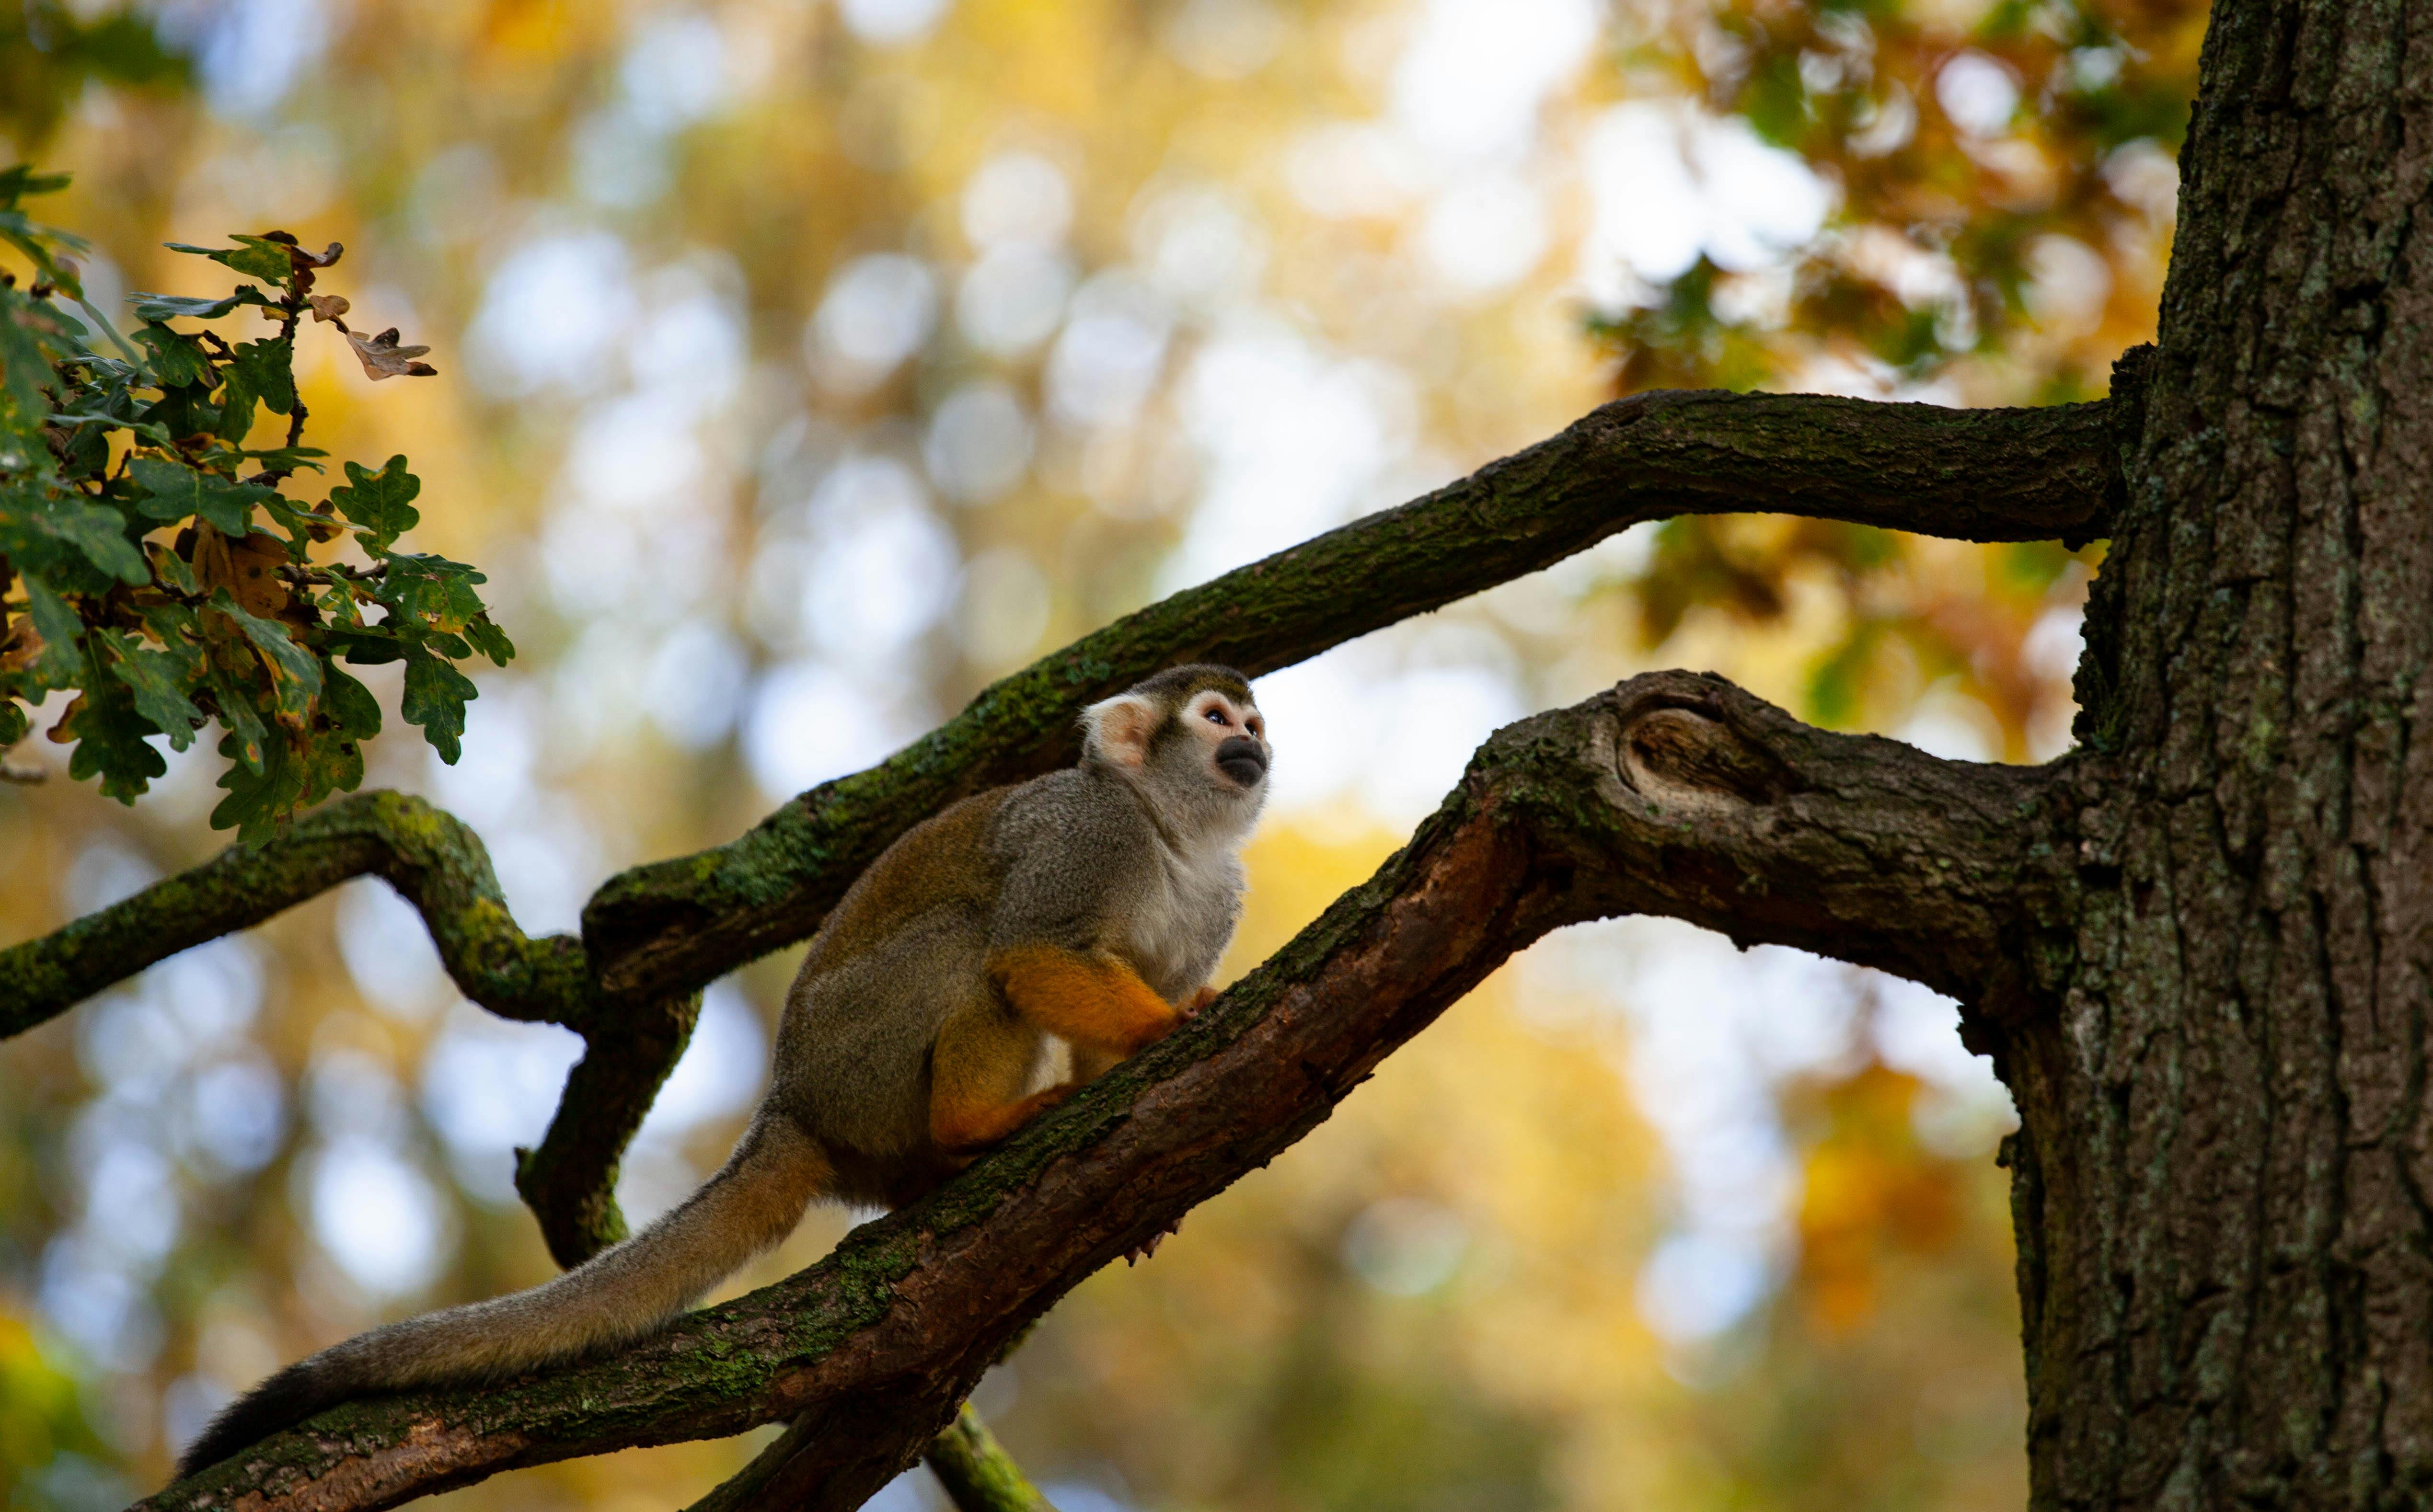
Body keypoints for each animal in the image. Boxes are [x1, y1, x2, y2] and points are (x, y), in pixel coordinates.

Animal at [175, 664, 1271, 1480]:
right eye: (1217, 720)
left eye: (1252, 721)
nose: (1256, 749)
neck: (1169, 836)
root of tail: (787, 1107)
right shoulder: (1088, 836)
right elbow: (1030, 951)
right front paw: (1170, 1023)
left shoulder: (1218, 892)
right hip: (853, 1058)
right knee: (970, 938)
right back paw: (972, 1129)